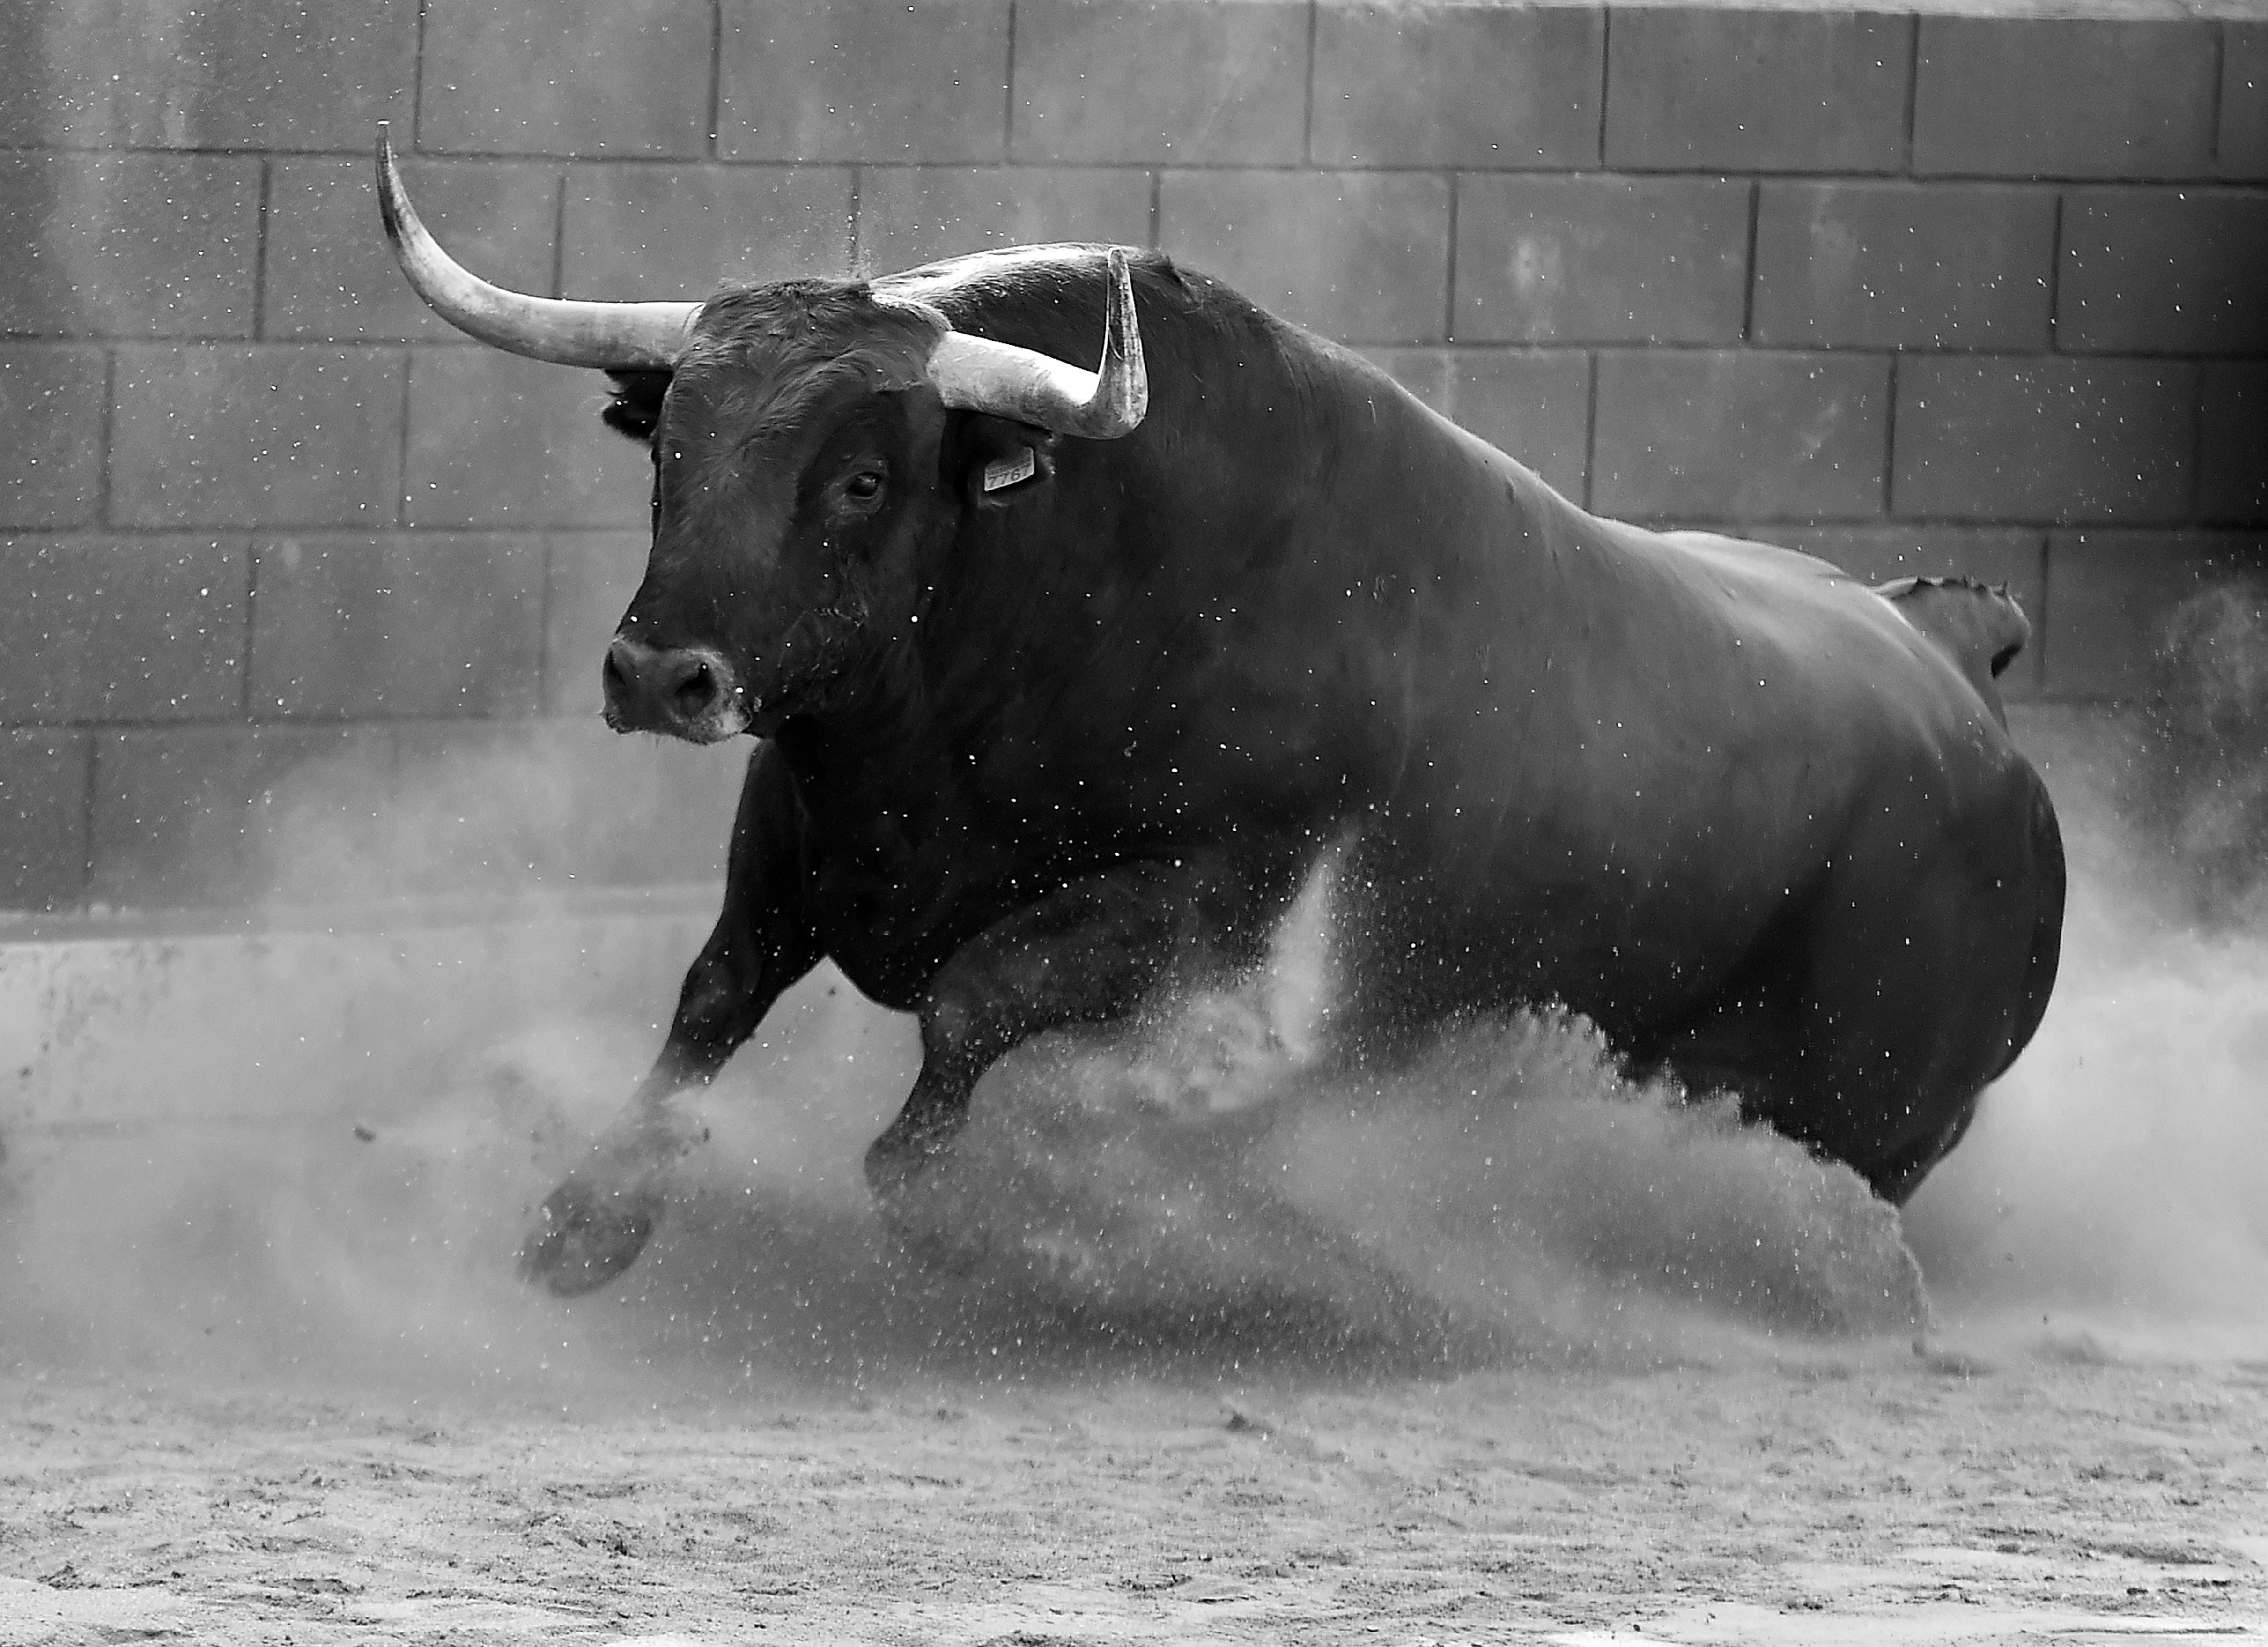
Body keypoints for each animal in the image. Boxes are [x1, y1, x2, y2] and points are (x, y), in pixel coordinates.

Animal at [376, 128, 2065, 1298]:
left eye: (859, 477)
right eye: (670, 447)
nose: (659, 675)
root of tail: (1956, 668)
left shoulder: (1211, 895)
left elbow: (973, 1002)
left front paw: (968, 1217)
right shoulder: (799, 829)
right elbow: (714, 991)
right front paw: (585, 1220)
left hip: (1870, 1132)